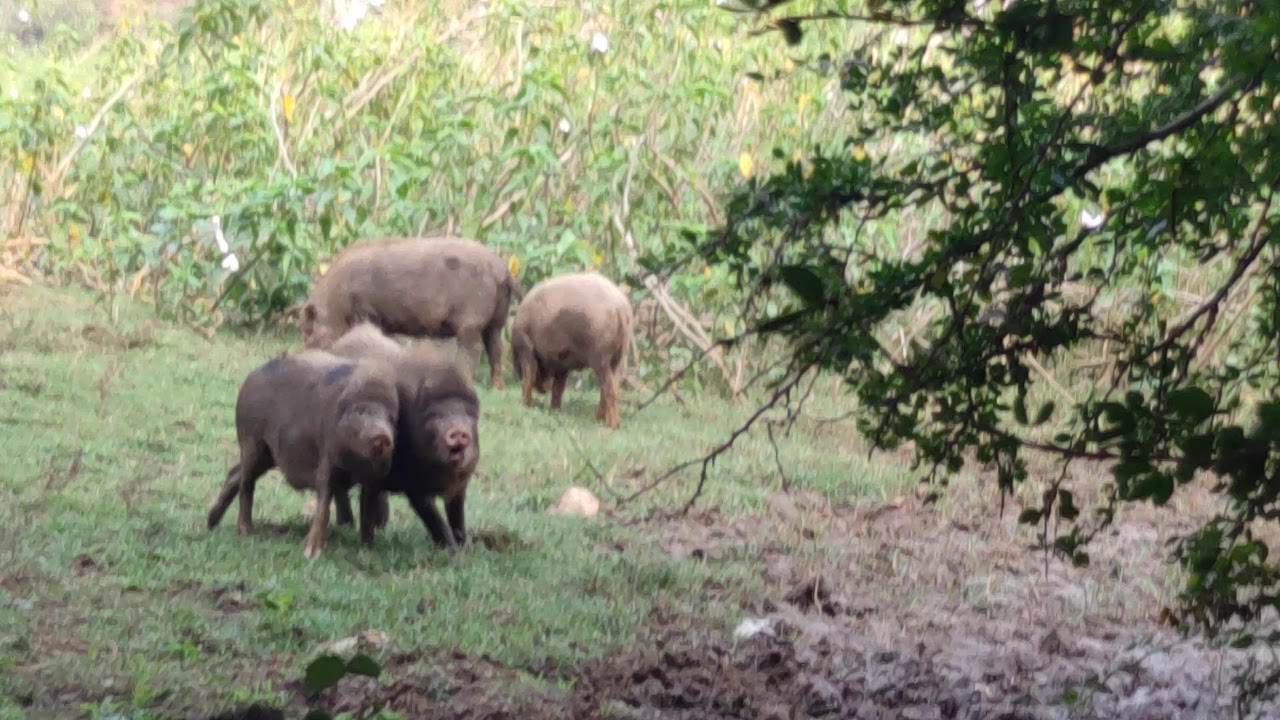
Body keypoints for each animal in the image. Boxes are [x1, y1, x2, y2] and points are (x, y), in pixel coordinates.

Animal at [205, 350, 399, 558]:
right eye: (360, 411)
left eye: (390, 418)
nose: (382, 436)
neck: (355, 464)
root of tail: (250, 378)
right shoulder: (327, 460)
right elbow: (324, 505)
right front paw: (311, 554)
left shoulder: (374, 479)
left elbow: (368, 513)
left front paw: (370, 551)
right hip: (251, 441)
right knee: (246, 483)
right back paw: (244, 532)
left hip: (268, 456)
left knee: (235, 473)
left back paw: (211, 523)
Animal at [299, 236, 521, 390]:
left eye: (310, 332)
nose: (304, 355)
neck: (336, 303)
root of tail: (503, 270)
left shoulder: (365, 310)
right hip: (497, 319)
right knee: (495, 348)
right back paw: (498, 387)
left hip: (471, 319)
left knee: (473, 349)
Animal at [510, 271, 633, 429]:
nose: (542, 389)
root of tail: (620, 307)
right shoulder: (561, 364)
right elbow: (558, 388)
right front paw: (554, 411)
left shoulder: (526, 347)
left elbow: (527, 379)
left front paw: (526, 406)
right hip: (620, 355)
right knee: (613, 386)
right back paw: (600, 420)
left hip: (600, 355)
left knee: (608, 388)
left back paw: (611, 426)